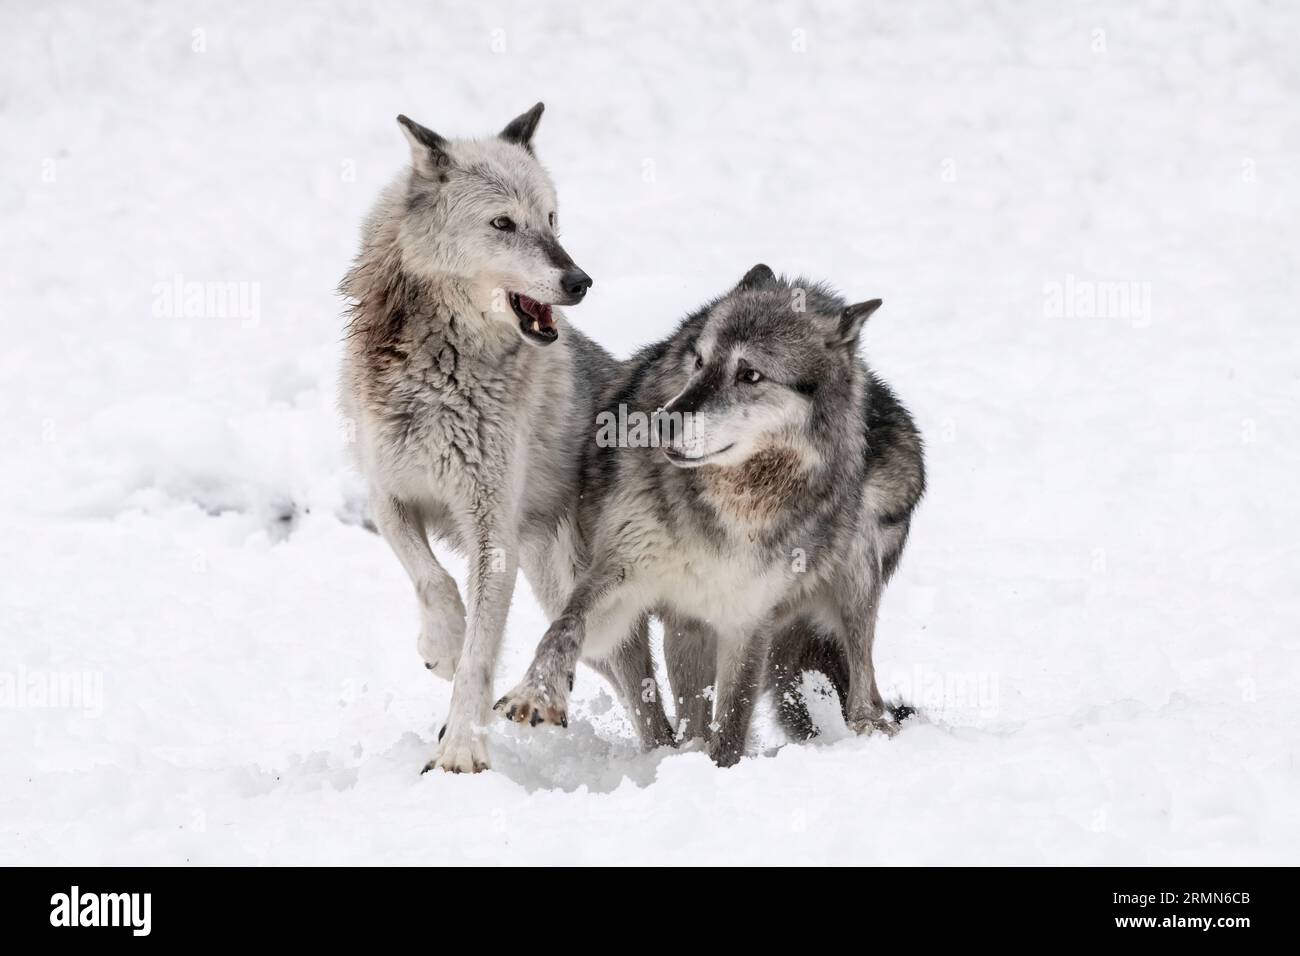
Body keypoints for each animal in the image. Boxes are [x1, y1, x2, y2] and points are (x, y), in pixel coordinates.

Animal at [340, 104, 672, 773]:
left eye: (551, 220)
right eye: (502, 223)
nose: (579, 280)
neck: (437, 370)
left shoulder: (494, 534)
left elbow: (480, 657)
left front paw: (461, 751)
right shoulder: (388, 495)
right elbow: (432, 581)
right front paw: (441, 644)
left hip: (583, 600)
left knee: (645, 698)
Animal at [495, 265, 925, 765]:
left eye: (750, 374)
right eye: (699, 362)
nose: (660, 423)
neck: (734, 499)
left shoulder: (748, 617)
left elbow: (734, 718)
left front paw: (721, 769)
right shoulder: (622, 575)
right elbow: (564, 627)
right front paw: (535, 693)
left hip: (857, 570)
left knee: (863, 685)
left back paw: (870, 730)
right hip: (677, 626)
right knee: (662, 709)